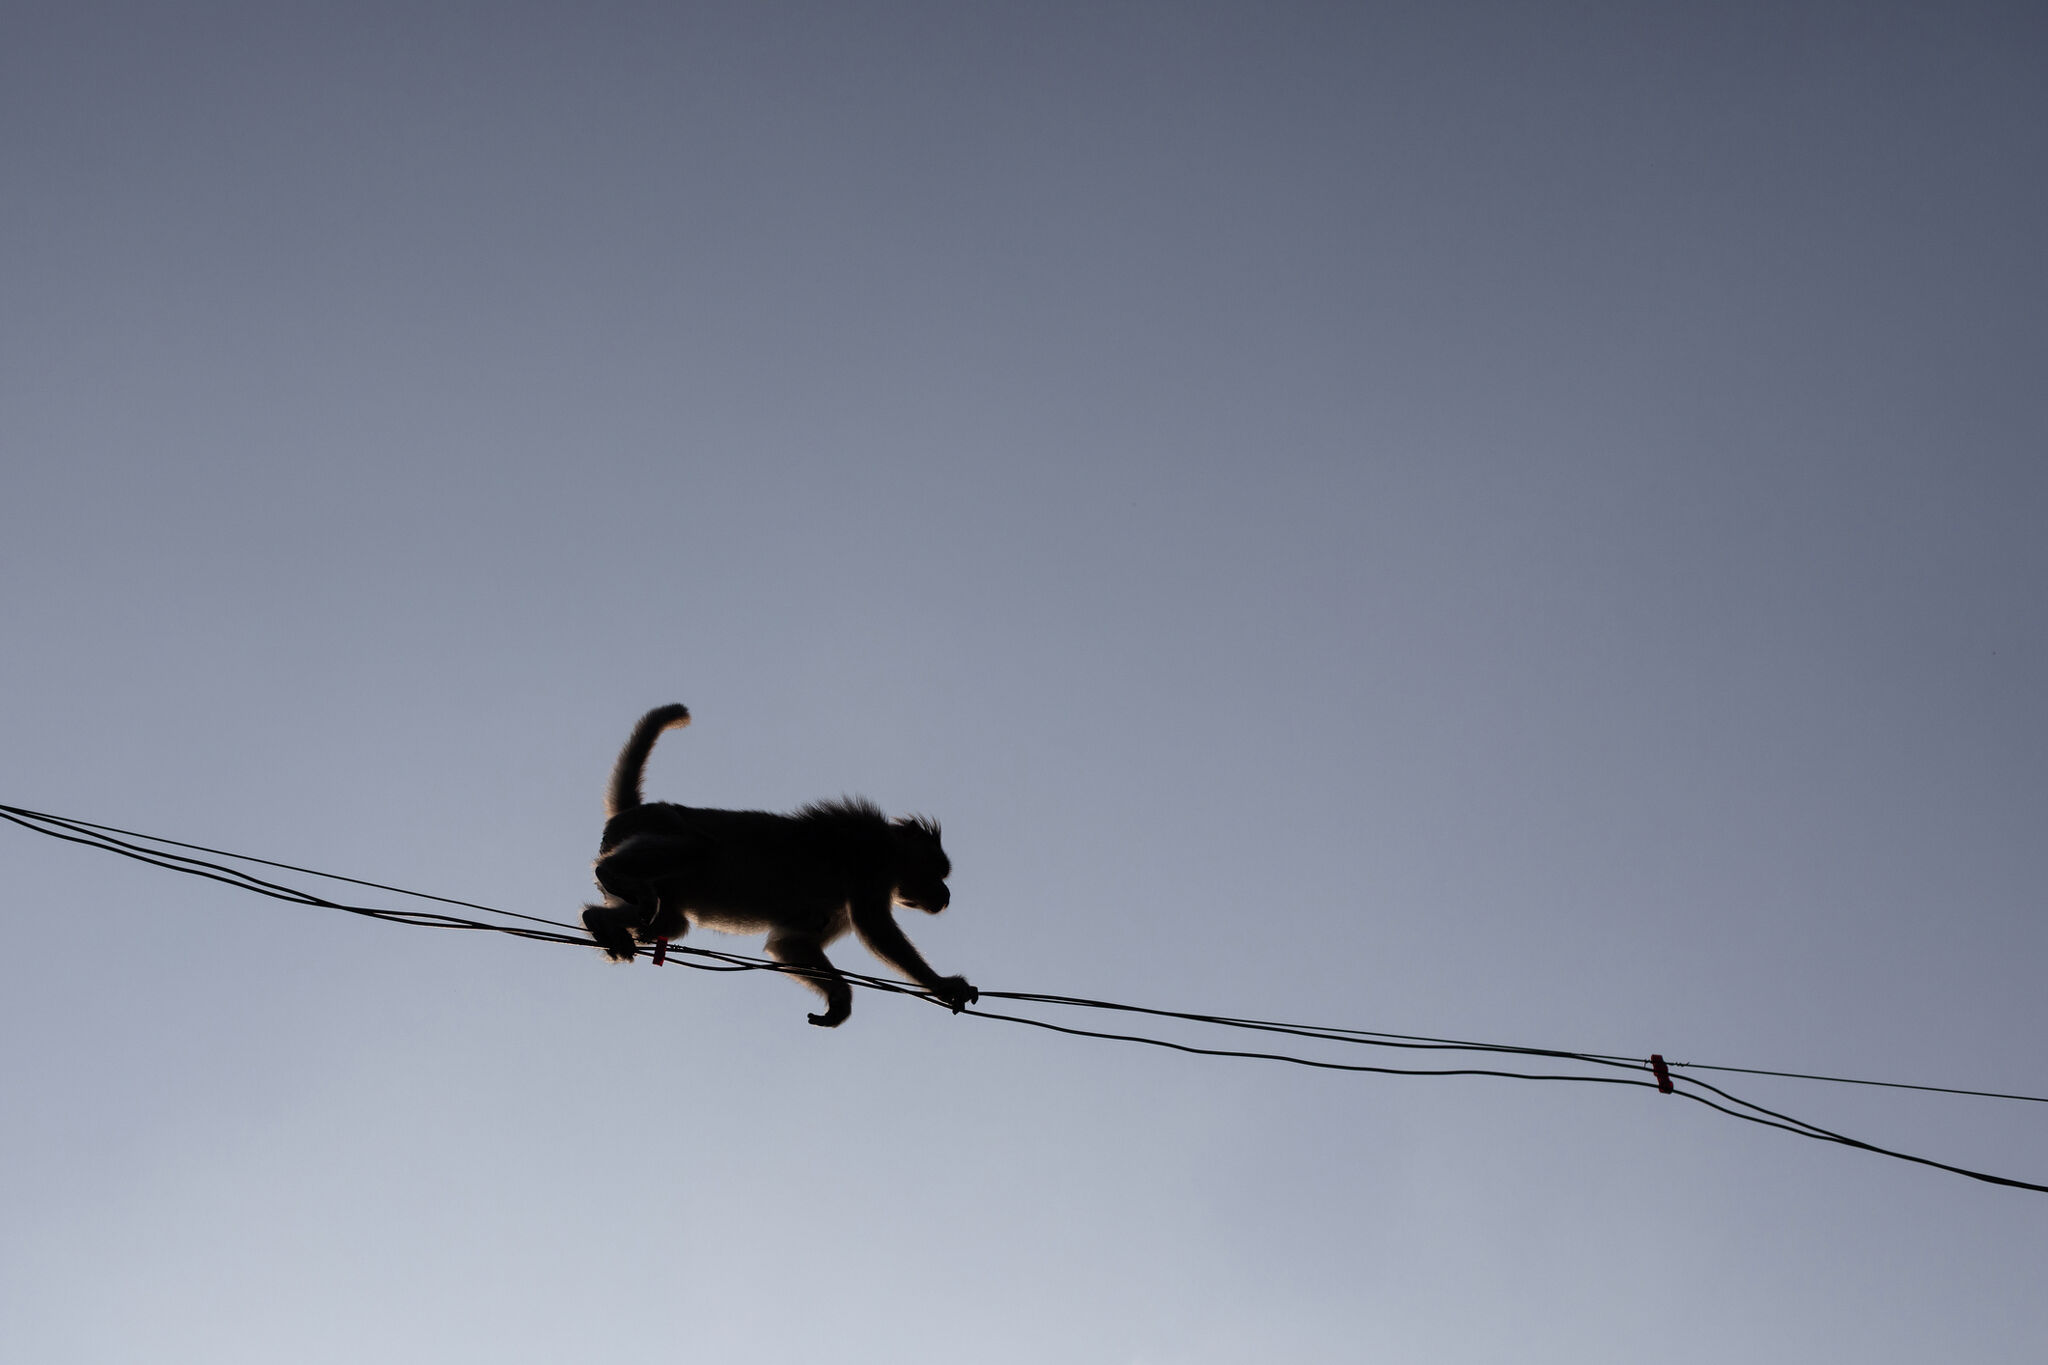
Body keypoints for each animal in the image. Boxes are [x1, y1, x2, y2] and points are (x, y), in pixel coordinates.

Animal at [581, 703, 977, 1027]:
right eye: (937, 873)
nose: (945, 895)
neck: (891, 851)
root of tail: (632, 812)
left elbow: (789, 944)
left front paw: (839, 998)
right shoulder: (869, 861)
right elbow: (875, 929)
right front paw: (942, 985)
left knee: (668, 922)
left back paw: (600, 922)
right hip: (657, 826)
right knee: (695, 848)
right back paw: (611, 877)